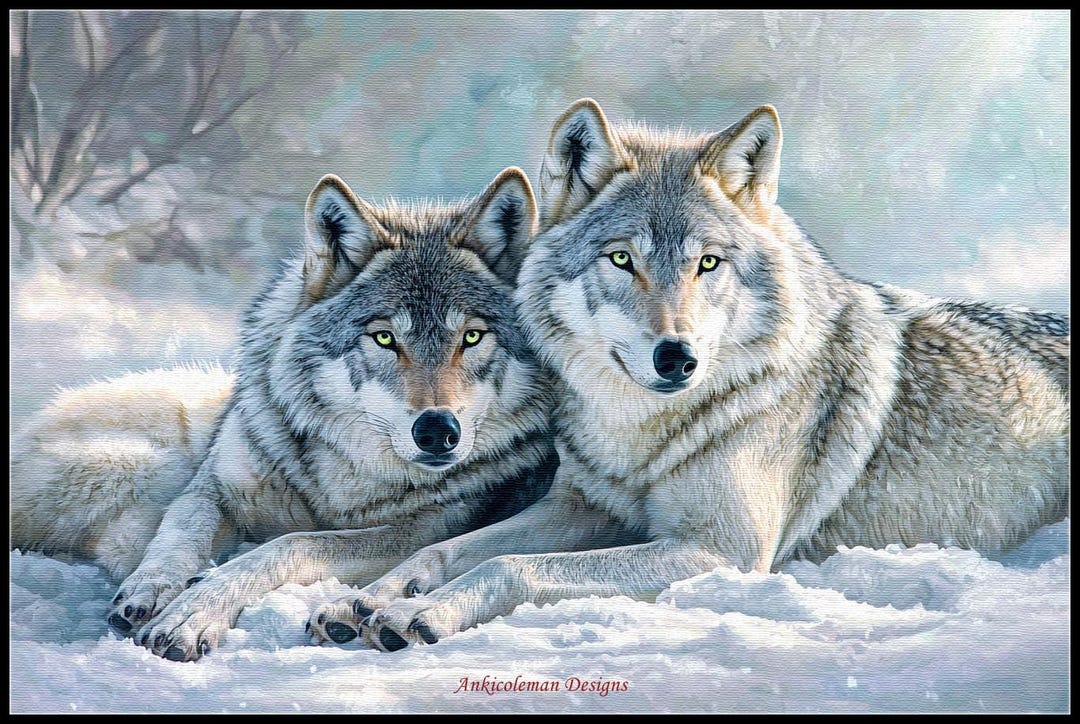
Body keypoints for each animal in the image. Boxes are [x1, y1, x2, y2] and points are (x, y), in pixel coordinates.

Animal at [10, 166, 556, 662]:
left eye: (472, 336)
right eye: (384, 337)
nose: (438, 430)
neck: (342, 475)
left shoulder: (427, 529)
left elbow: (291, 544)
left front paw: (193, 611)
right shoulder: (214, 482)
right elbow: (179, 529)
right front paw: (154, 587)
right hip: (133, 463)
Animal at [311, 98, 1070, 652]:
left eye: (708, 262)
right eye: (622, 259)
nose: (676, 357)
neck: (643, 439)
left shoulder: (719, 552)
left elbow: (509, 566)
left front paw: (424, 615)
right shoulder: (579, 508)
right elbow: (443, 548)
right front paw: (372, 598)